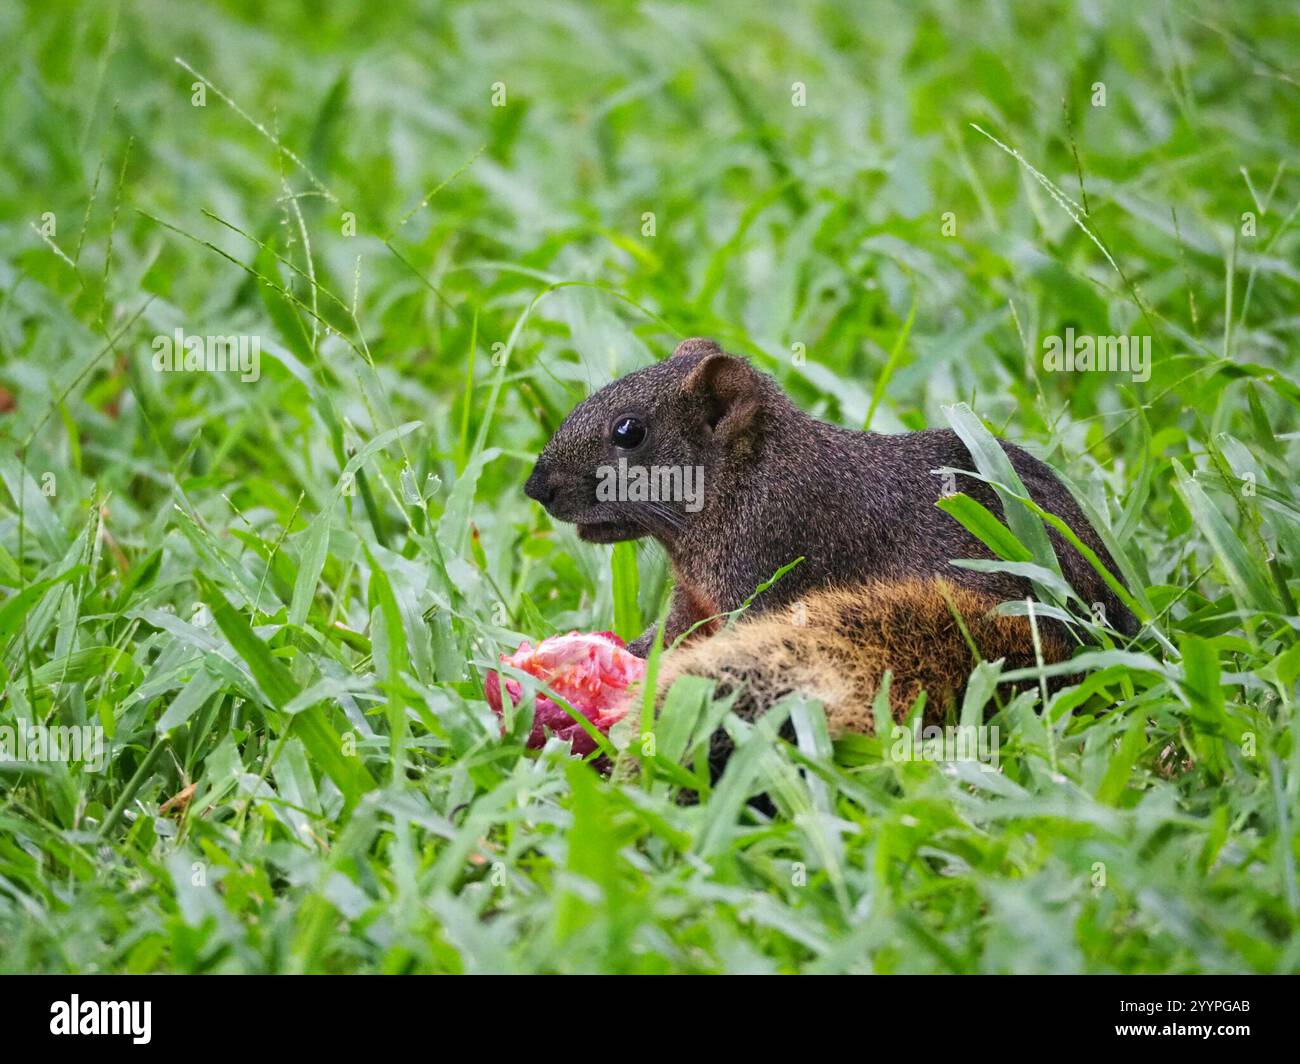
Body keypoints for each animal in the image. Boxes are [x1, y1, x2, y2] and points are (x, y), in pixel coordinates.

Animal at [524, 337, 1133, 749]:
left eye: (628, 431)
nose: (536, 487)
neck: (746, 479)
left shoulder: (767, 566)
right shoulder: (696, 598)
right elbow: (667, 635)